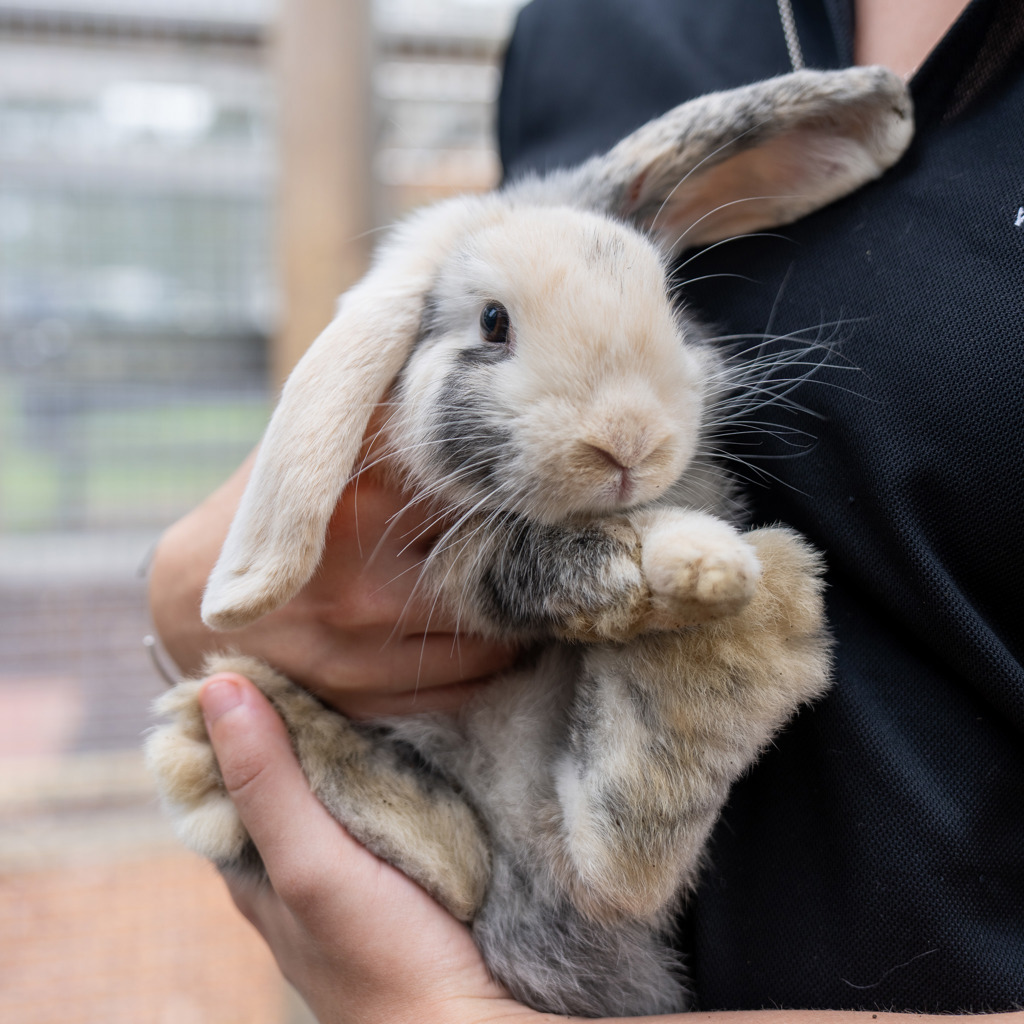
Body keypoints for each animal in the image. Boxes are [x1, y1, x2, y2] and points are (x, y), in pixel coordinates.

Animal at [146, 67, 913, 1017]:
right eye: (492, 323)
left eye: (671, 303)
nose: (627, 442)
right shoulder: (462, 559)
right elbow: (544, 568)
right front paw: (673, 558)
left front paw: (692, 558)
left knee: (615, 862)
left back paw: (748, 621)